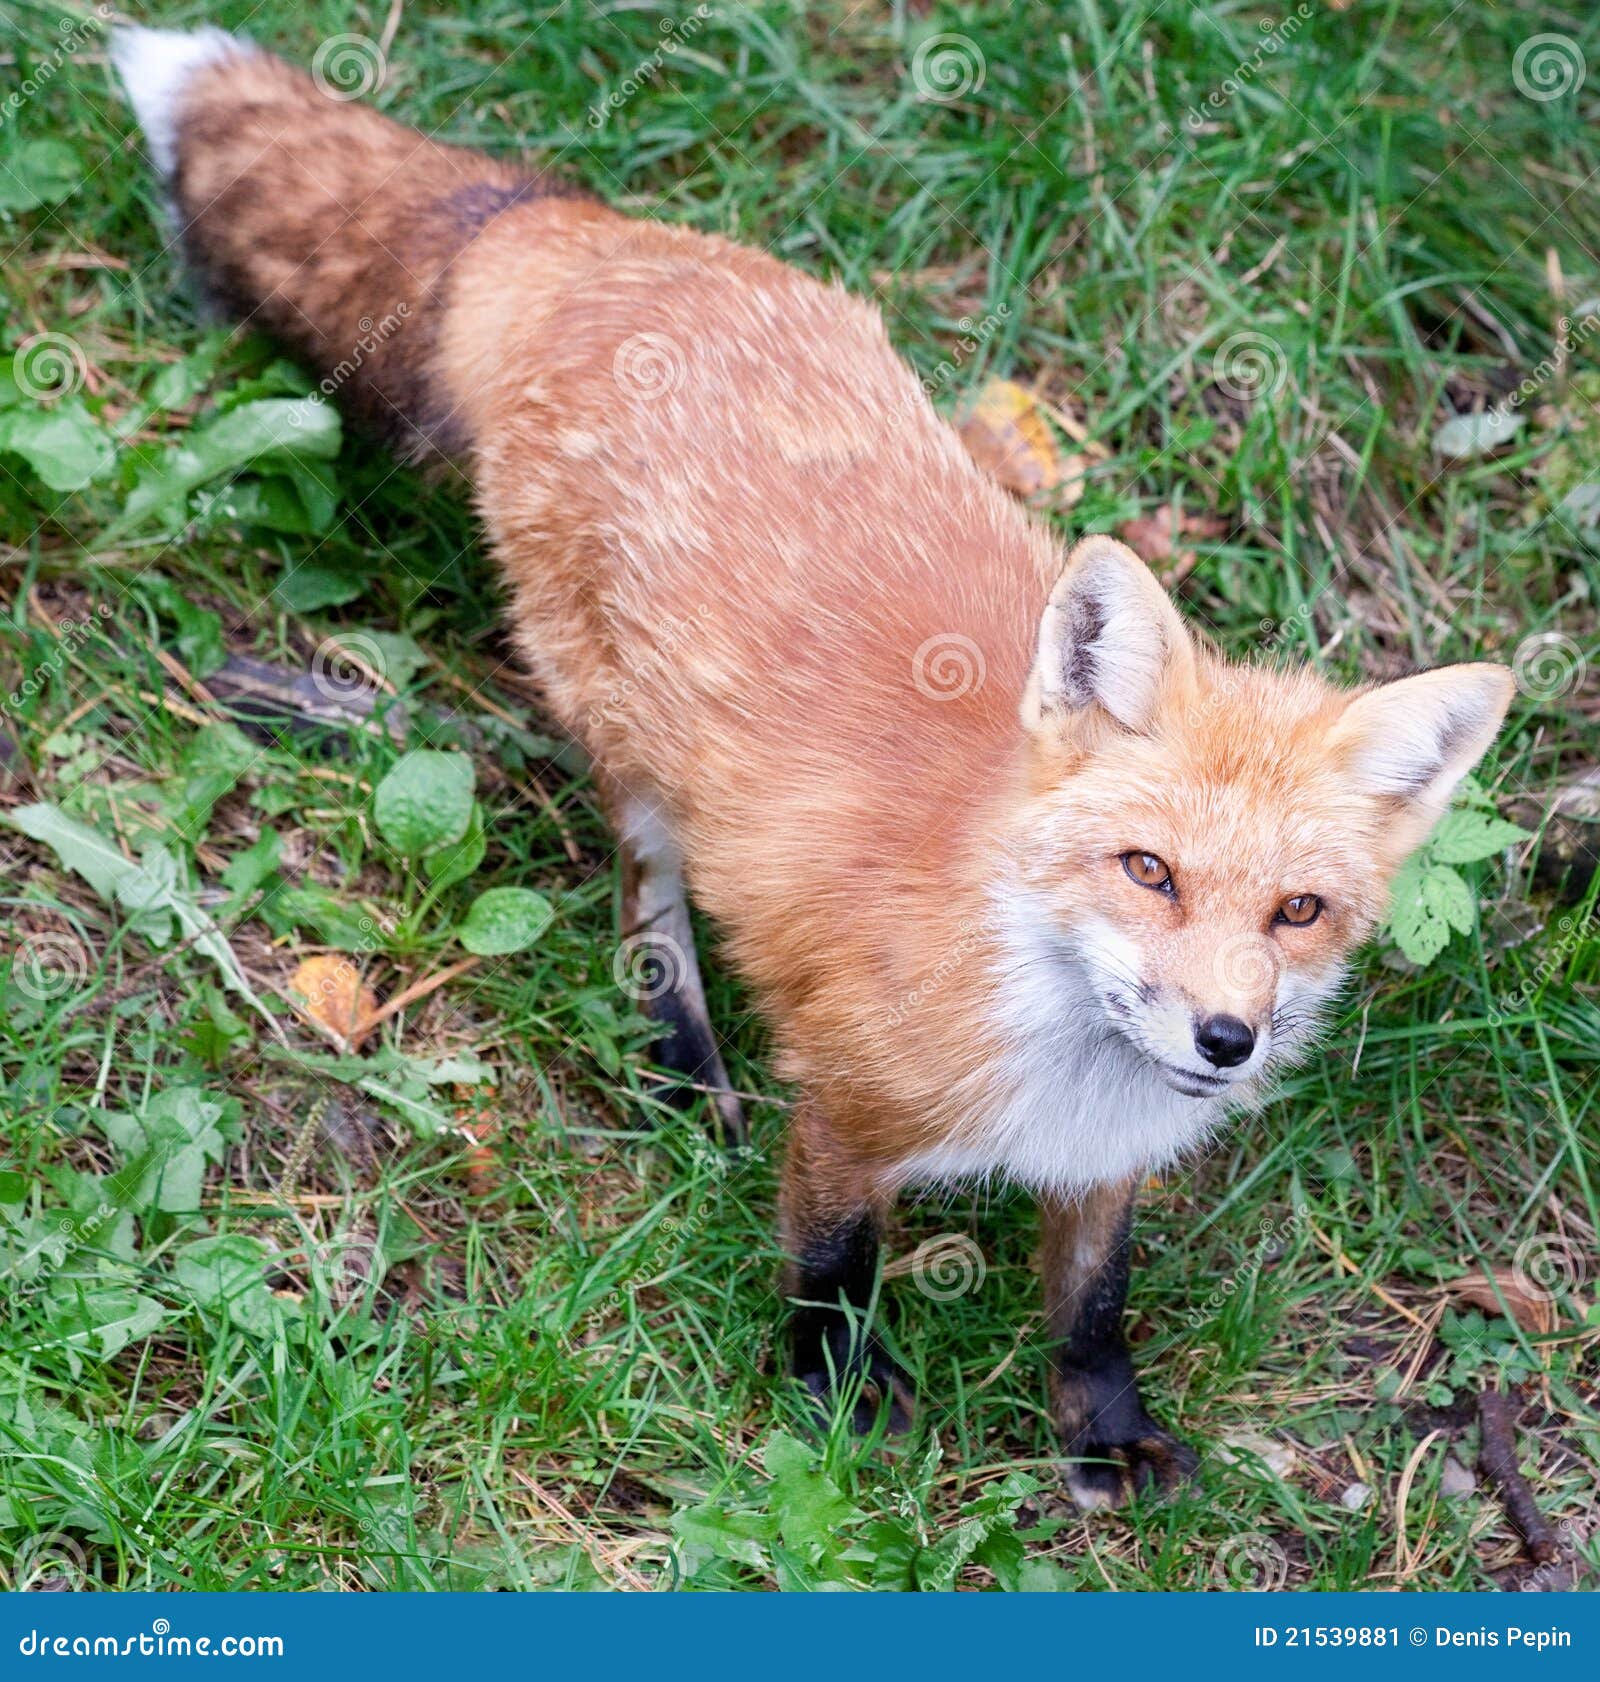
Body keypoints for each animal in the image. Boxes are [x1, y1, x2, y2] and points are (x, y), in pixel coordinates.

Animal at [112, 23, 1514, 1506]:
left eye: (1299, 910)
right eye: (1150, 871)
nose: (1224, 1037)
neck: (1053, 1044)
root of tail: (596, 241)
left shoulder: (1105, 1169)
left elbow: (1093, 1300)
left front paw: (1102, 1429)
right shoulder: (845, 1110)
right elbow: (835, 1265)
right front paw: (840, 1396)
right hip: (629, 747)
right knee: (645, 899)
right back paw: (676, 1055)